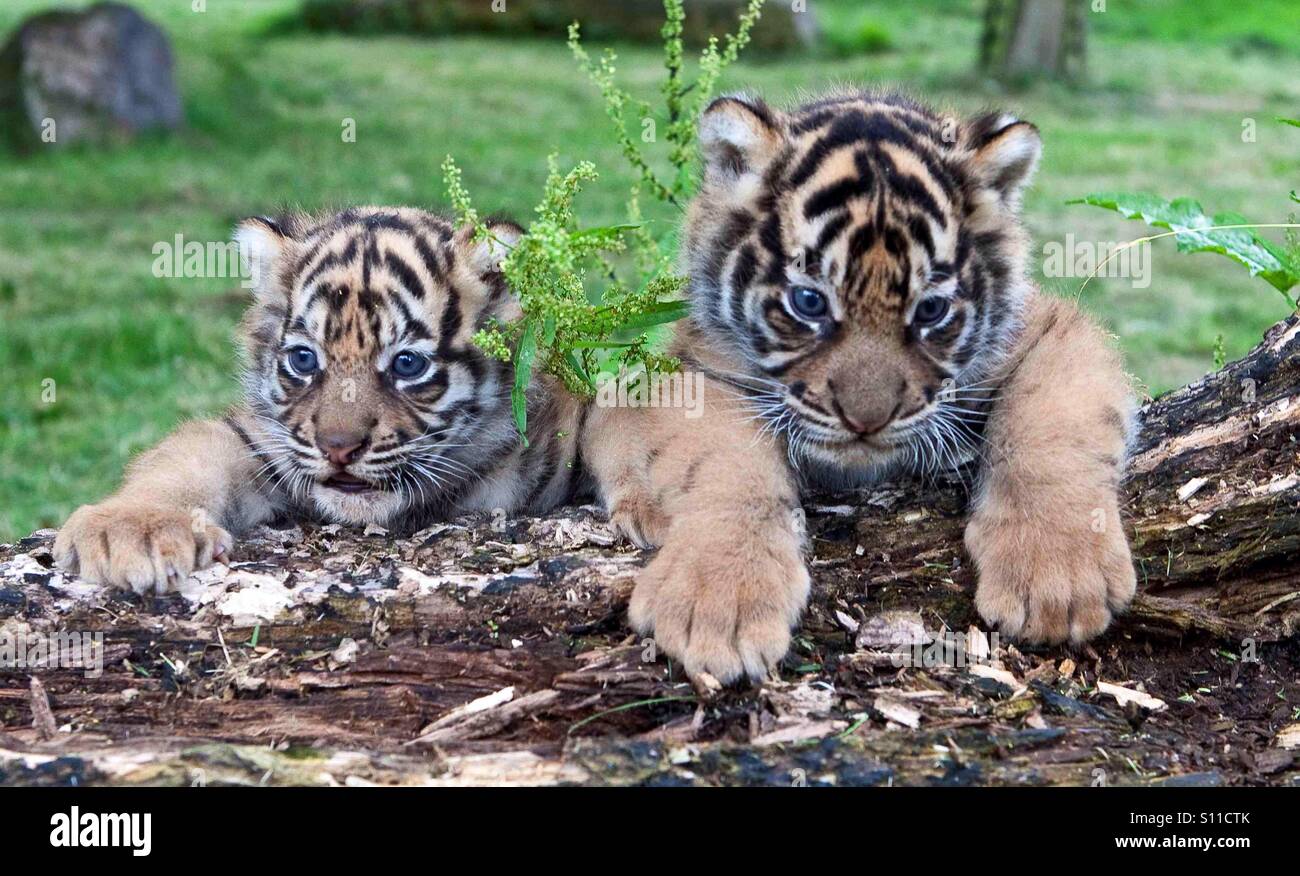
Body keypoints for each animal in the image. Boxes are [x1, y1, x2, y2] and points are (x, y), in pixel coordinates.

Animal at [54, 206, 590, 592]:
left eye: (407, 364)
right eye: (304, 360)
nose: (339, 448)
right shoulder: (256, 442)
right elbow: (185, 456)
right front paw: (132, 529)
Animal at [585, 90, 1138, 683]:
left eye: (931, 310)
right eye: (809, 302)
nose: (866, 419)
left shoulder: (1053, 328)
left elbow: (1051, 427)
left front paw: (1059, 576)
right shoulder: (686, 370)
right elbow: (723, 462)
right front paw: (719, 598)